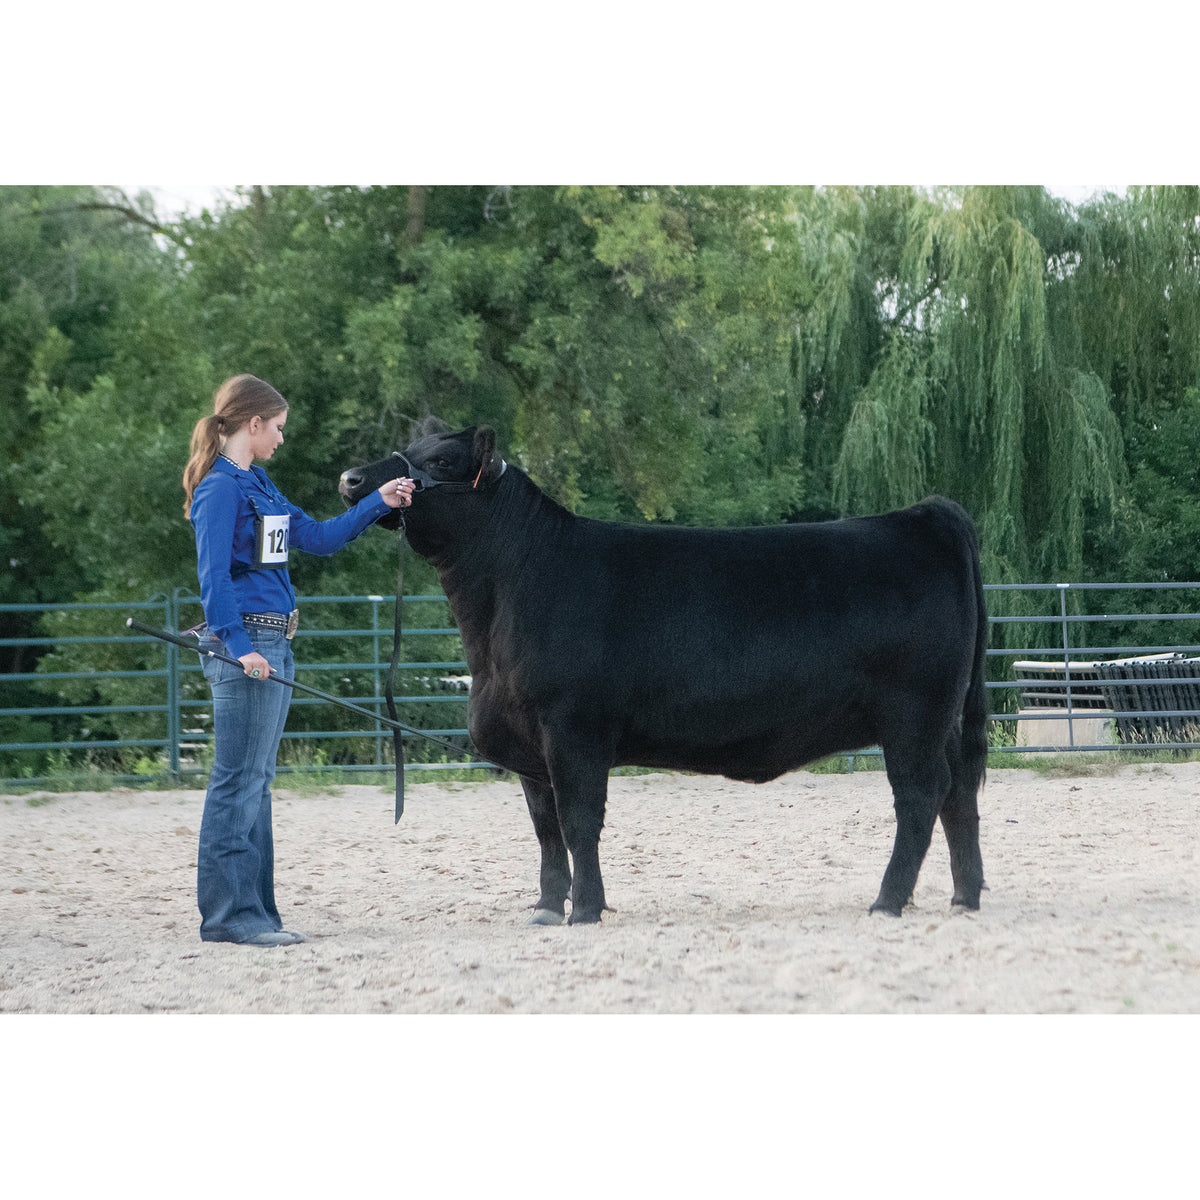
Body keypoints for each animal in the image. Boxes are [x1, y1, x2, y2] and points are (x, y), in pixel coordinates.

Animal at [338, 419, 988, 925]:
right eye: (410, 448)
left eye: (440, 461)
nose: (351, 480)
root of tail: (922, 514)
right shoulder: (528, 741)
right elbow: (545, 828)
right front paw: (547, 908)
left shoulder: (573, 727)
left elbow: (578, 822)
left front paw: (585, 909)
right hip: (945, 718)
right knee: (959, 794)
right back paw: (963, 897)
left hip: (914, 714)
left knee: (920, 797)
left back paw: (888, 901)